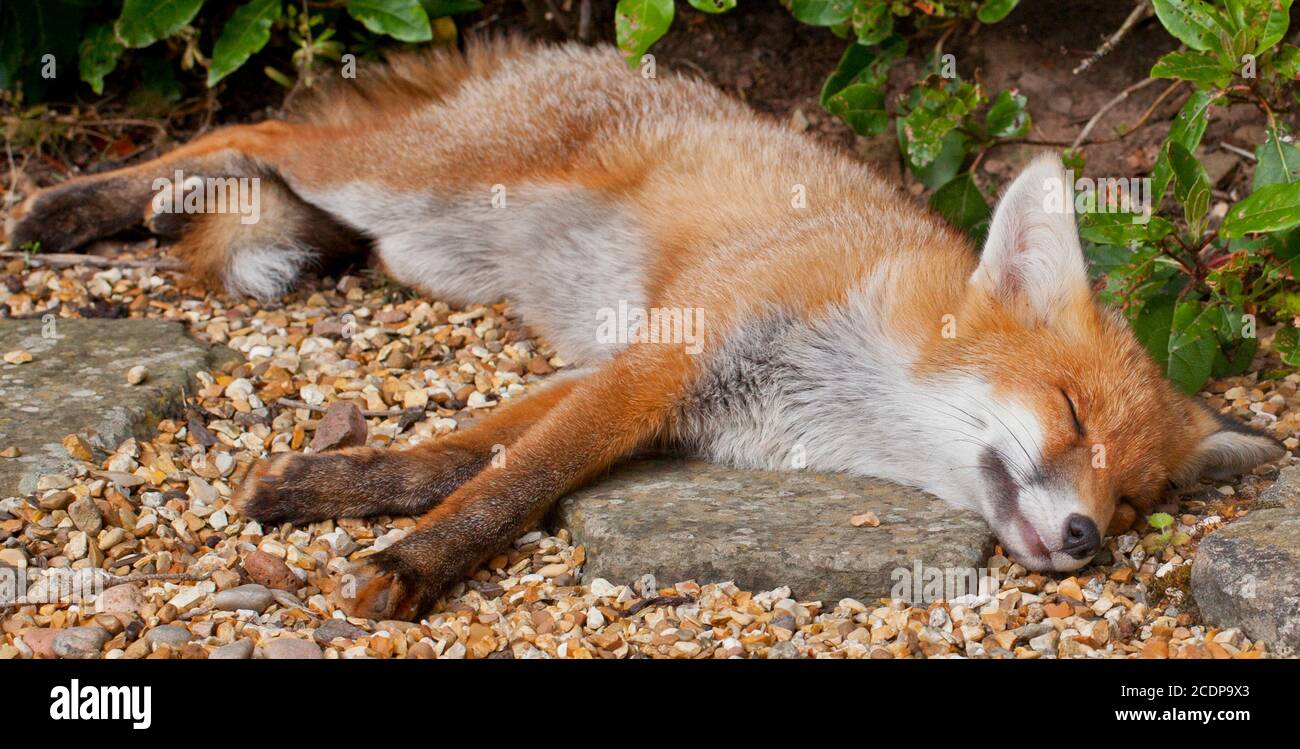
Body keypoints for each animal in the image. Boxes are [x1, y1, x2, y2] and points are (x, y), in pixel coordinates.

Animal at [7, 39, 1285, 621]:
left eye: (1133, 498)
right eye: (1068, 415)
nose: (1084, 537)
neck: (843, 385)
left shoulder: (636, 378)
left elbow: (463, 451)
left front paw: (331, 487)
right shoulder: (668, 354)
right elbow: (517, 480)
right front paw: (414, 563)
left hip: (413, 245)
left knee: (264, 174)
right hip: (398, 181)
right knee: (253, 125)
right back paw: (69, 206)